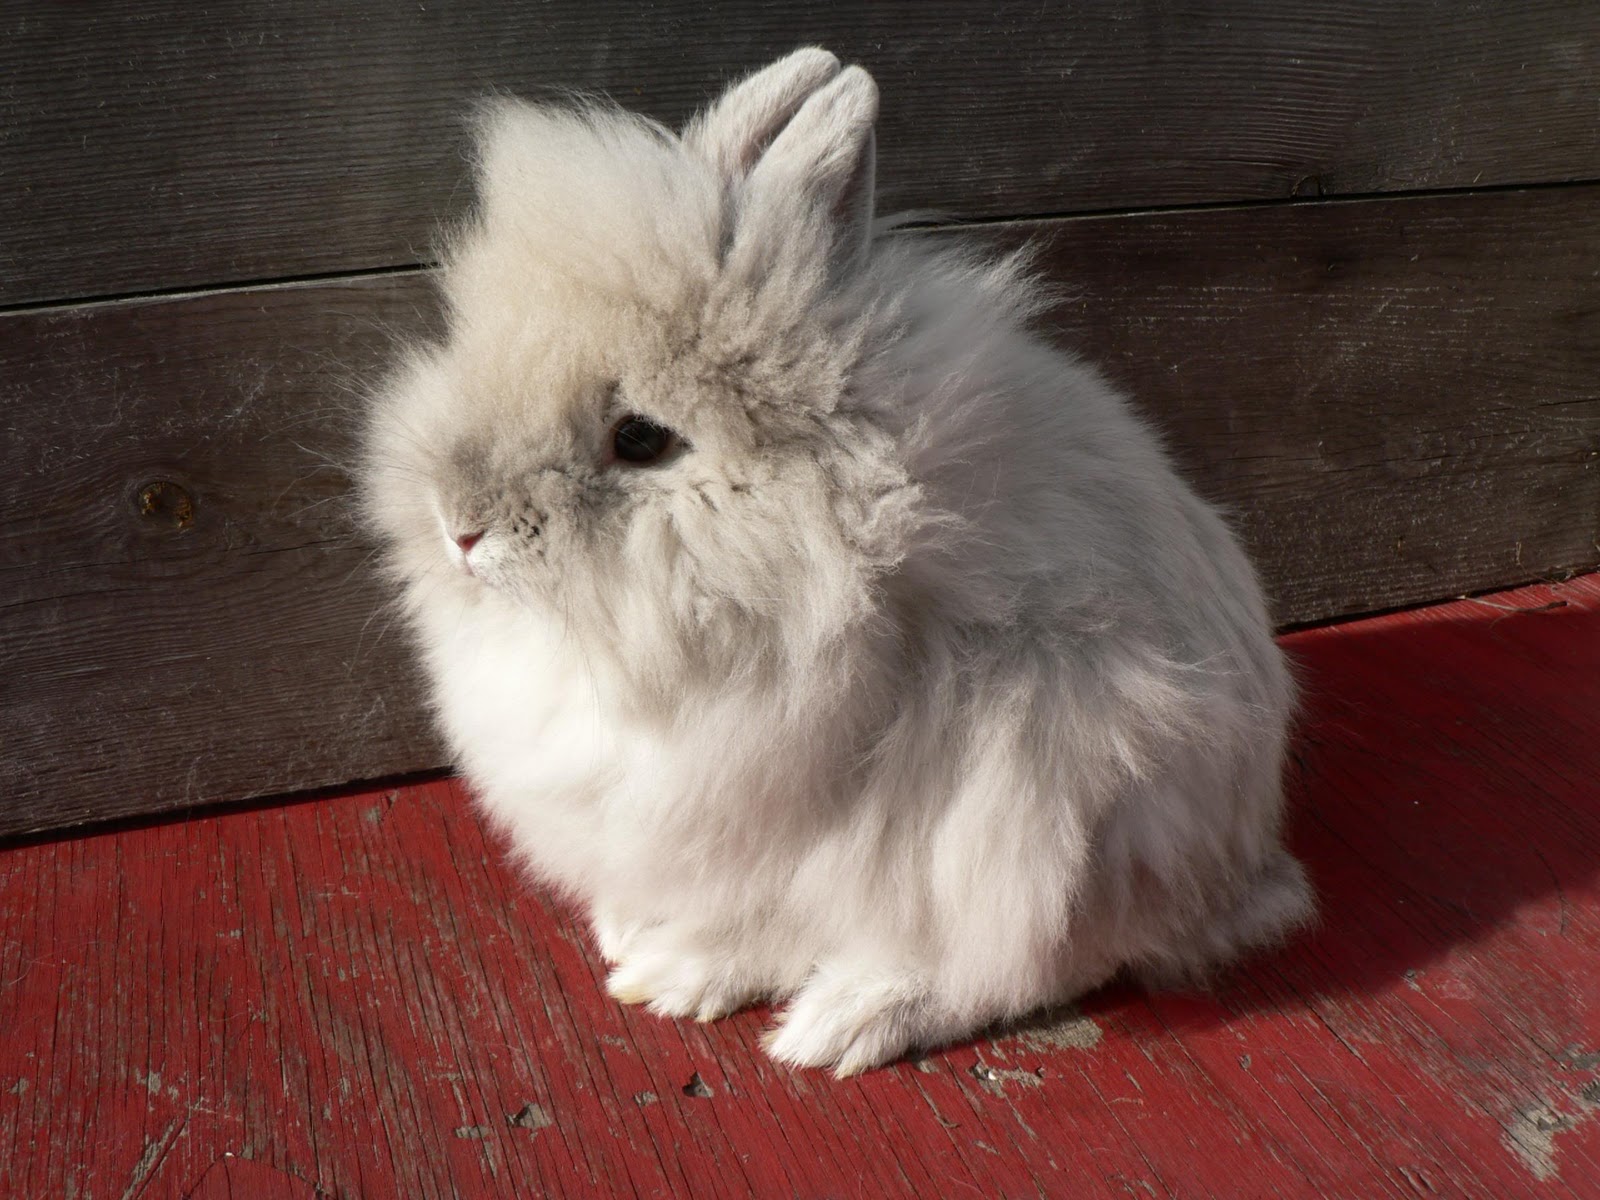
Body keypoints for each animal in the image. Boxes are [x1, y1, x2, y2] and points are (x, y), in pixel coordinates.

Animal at [358, 47, 1313, 1076]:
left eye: (641, 439)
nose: (458, 527)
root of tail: (1242, 862)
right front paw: (624, 926)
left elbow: (788, 914)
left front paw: (678, 968)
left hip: (1052, 796)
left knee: (1029, 962)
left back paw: (827, 1017)